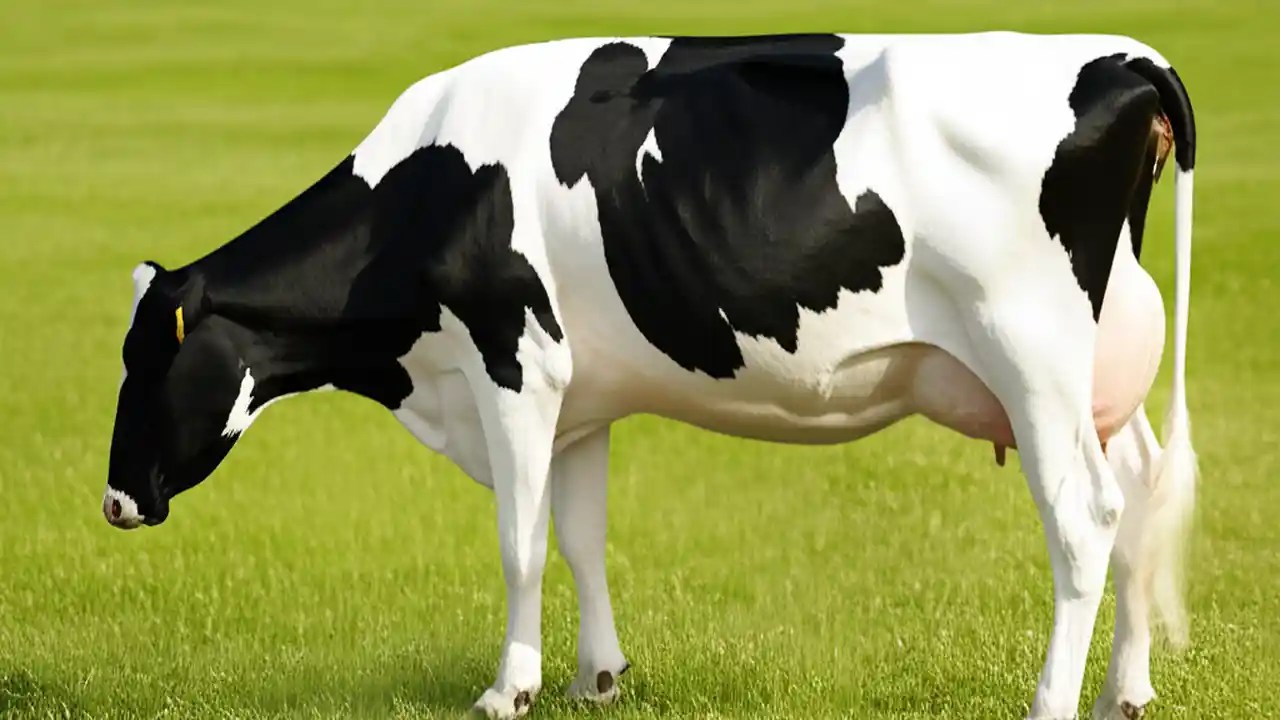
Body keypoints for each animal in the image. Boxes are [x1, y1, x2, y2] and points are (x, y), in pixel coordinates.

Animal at [103, 32, 1198, 720]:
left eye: (147, 359)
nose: (114, 500)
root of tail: (1124, 56)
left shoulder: (514, 362)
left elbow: (518, 544)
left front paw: (508, 690)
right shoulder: (579, 402)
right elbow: (579, 538)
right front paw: (595, 678)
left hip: (1031, 355)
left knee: (1083, 519)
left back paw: (1053, 703)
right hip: (1102, 371)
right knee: (1141, 499)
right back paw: (1126, 693)